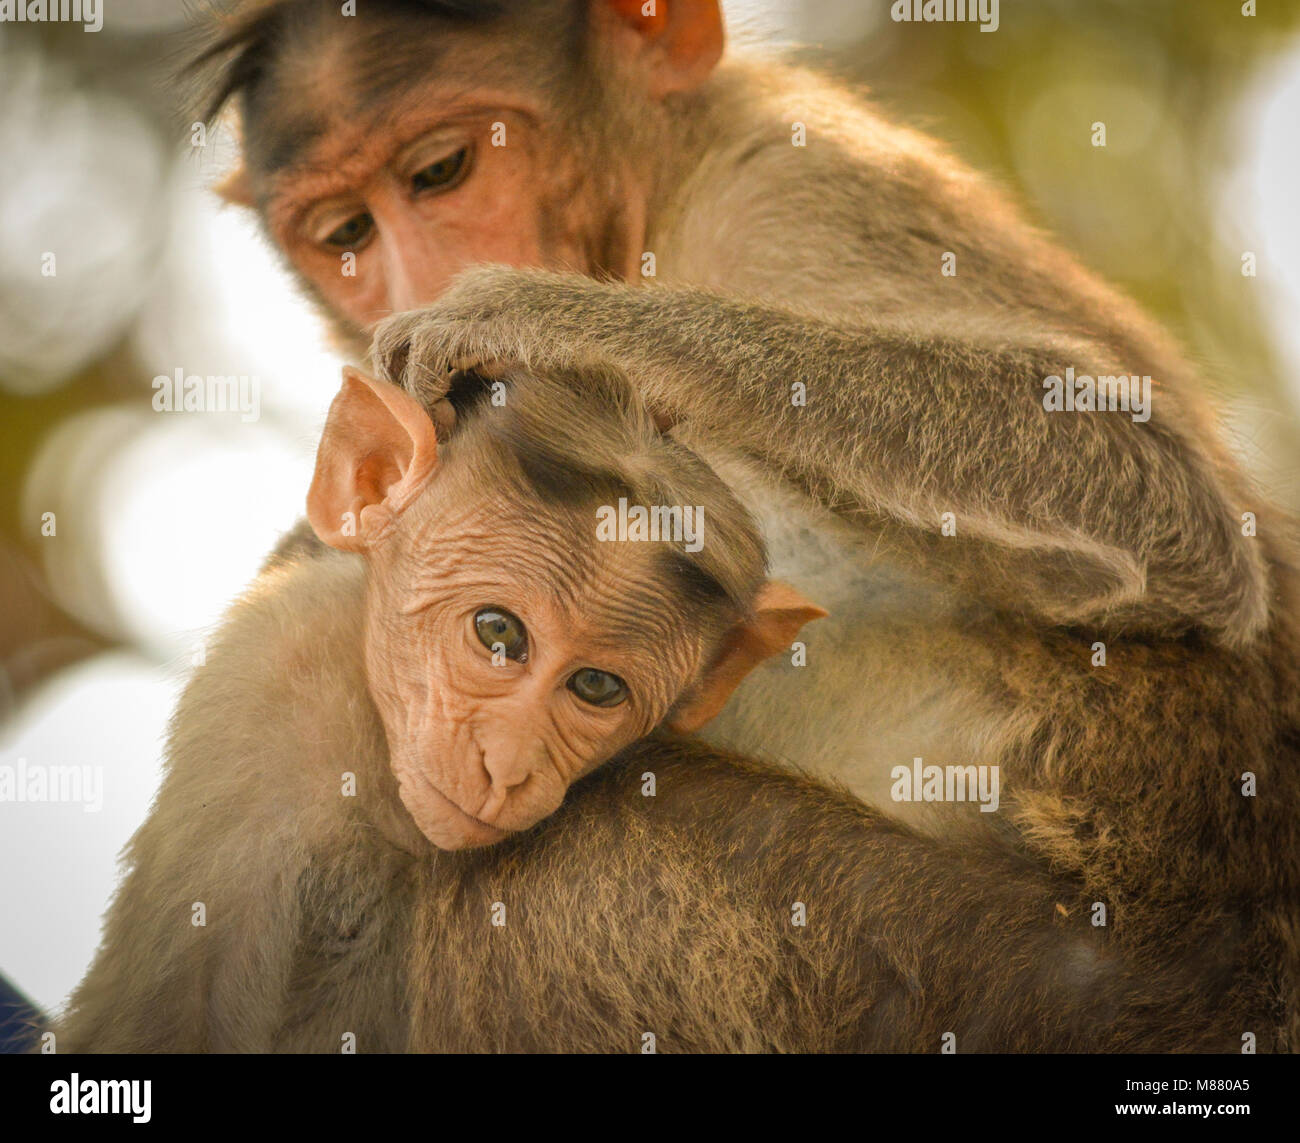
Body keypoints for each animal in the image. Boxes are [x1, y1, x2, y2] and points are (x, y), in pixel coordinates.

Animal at [164, 0, 1300, 1049]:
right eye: (346, 235)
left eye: (442, 170)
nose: (412, 279)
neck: (657, 198)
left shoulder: (793, 184)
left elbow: (1172, 515)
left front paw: (548, 316)